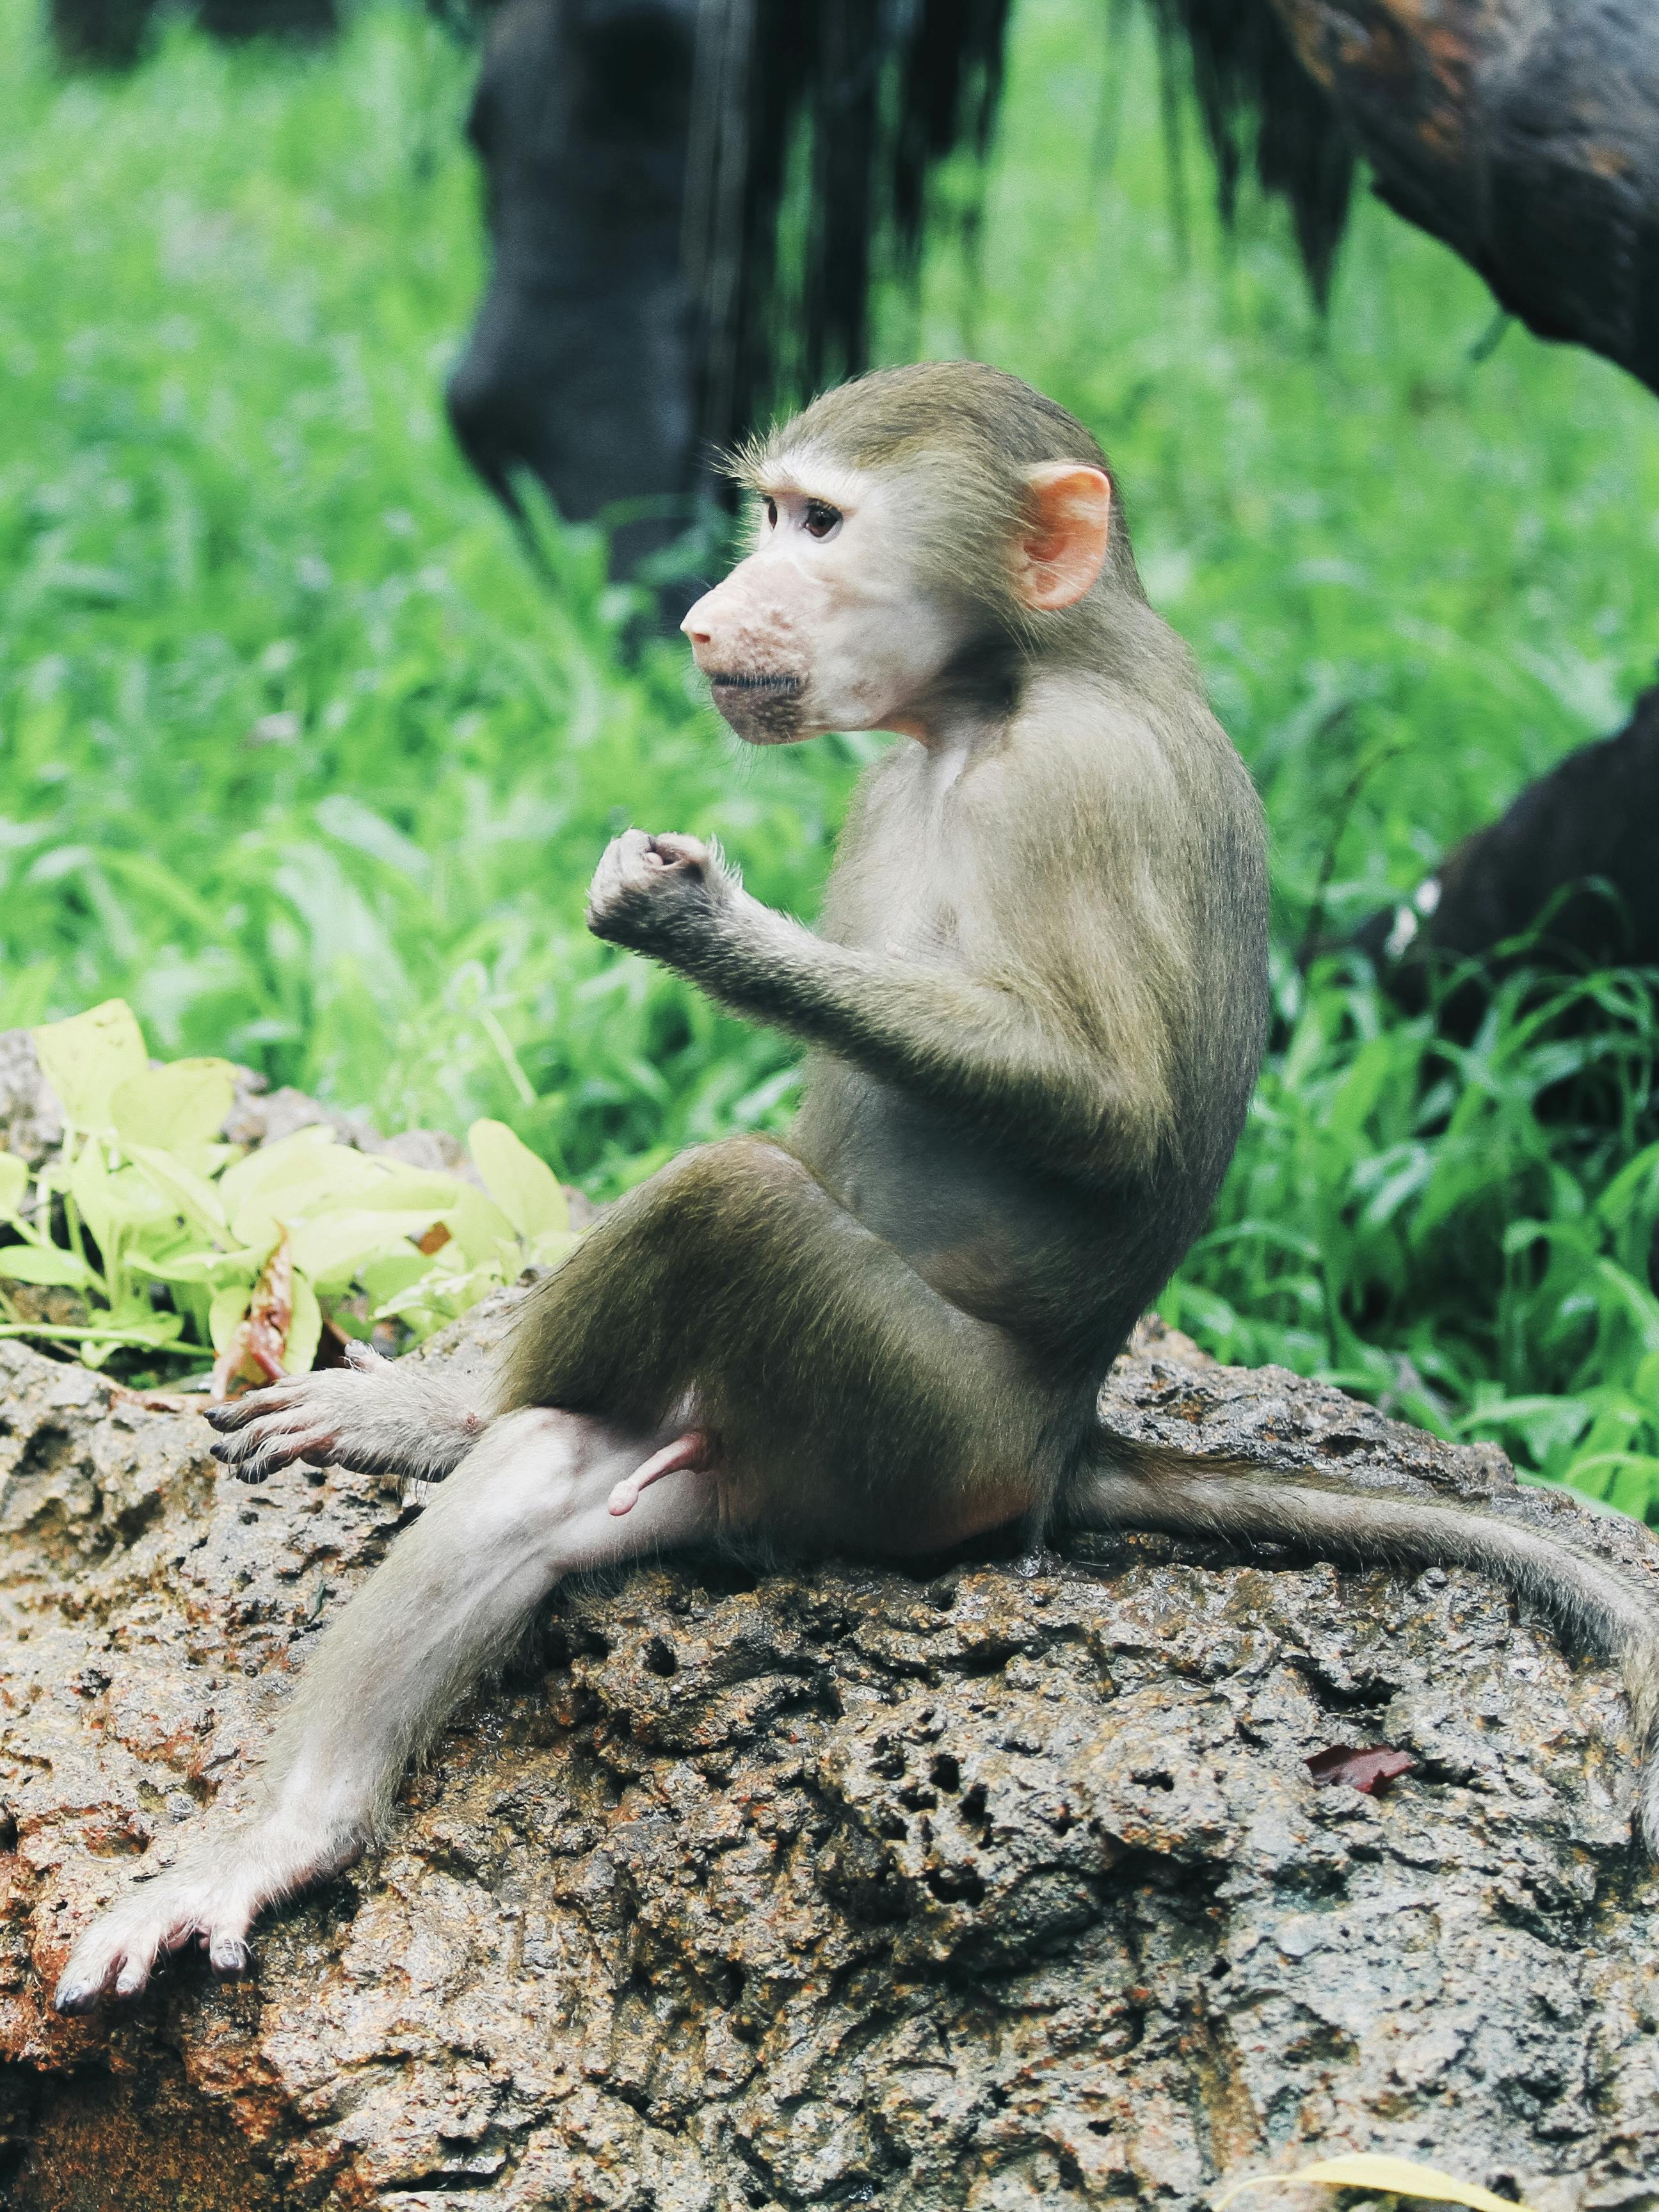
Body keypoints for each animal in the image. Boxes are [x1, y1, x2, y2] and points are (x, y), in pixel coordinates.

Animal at [54, 361, 1659, 2011]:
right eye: (772, 514)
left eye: (821, 525)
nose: (706, 618)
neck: (996, 698)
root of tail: (1058, 1443)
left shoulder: (1073, 787)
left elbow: (1113, 1112)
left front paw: (698, 922)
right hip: (784, 1466)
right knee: (553, 1464)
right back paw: (320, 1762)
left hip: (919, 1446)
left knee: (734, 1205)